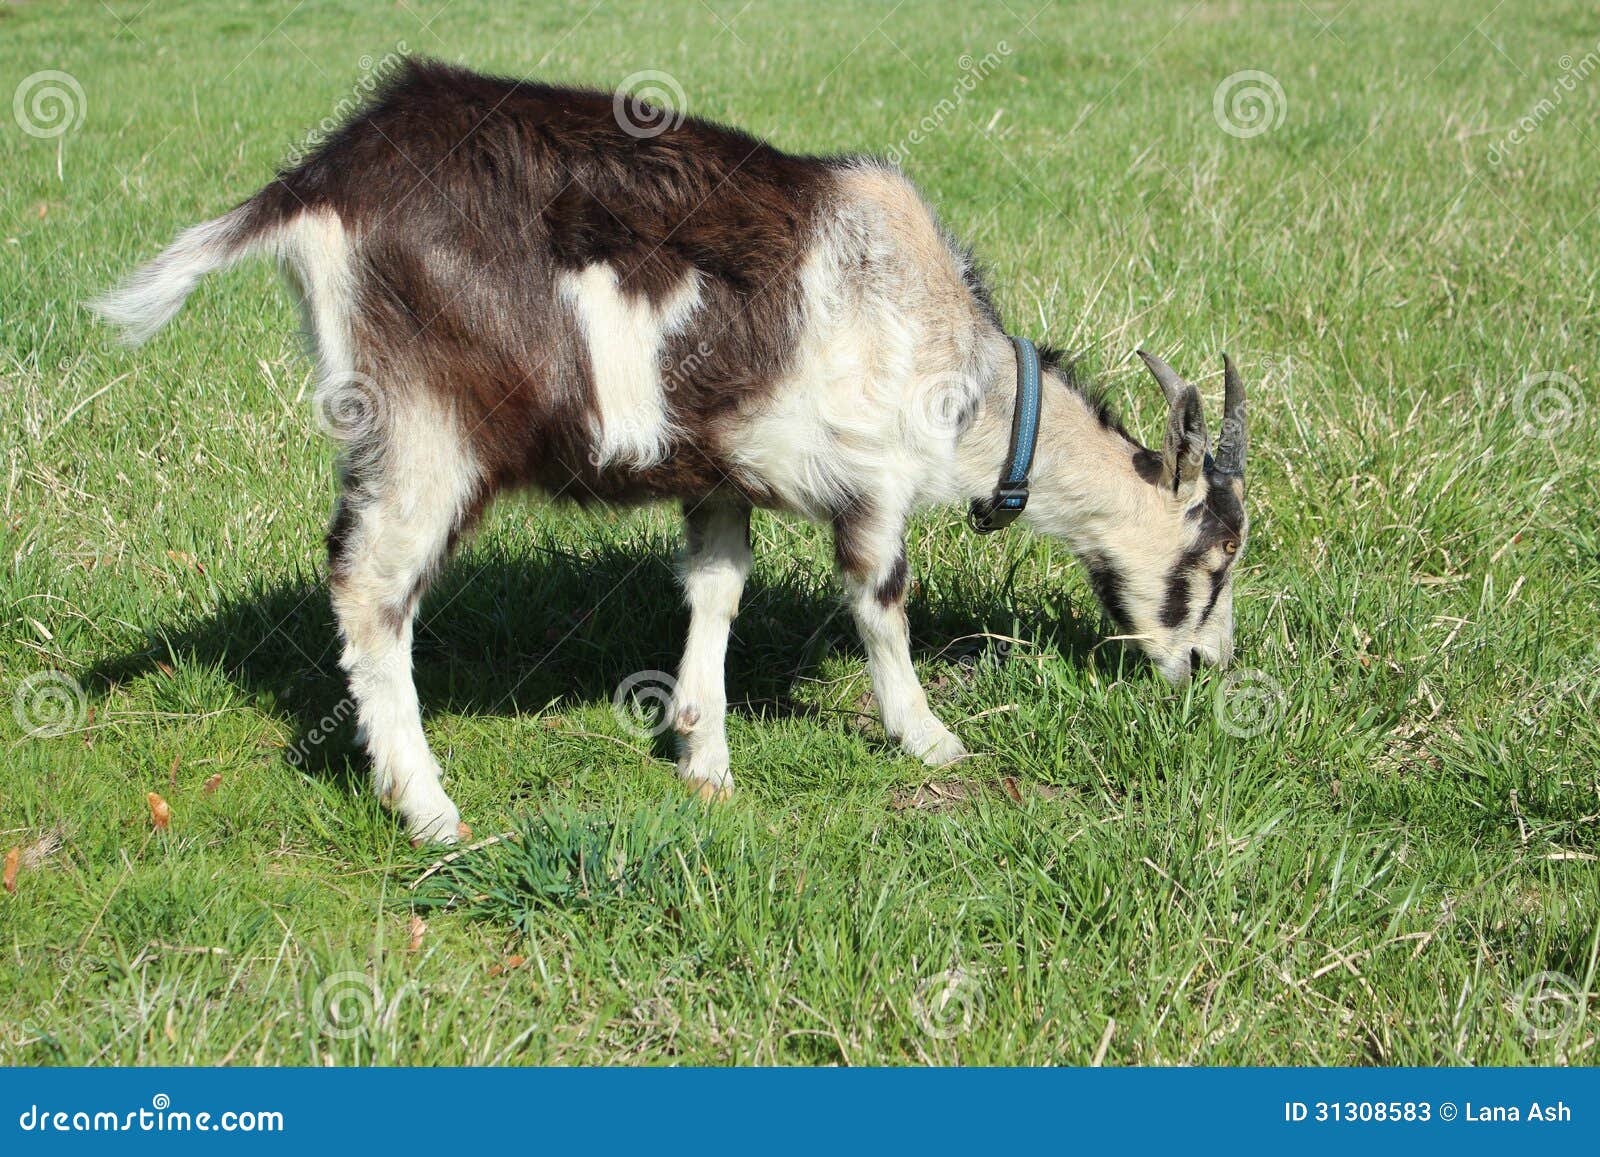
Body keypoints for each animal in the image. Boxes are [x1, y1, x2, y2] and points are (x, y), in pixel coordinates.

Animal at [93, 59, 1250, 844]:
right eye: (1212, 559)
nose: (1208, 668)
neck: (959, 362)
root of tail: (326, 176)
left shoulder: (721, 476)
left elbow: (716, 591)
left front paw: (703, 751)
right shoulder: (874, 483)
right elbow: (881, 604)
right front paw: (929, 736)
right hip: (430, 424)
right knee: (369, 587)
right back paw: (428, 807)